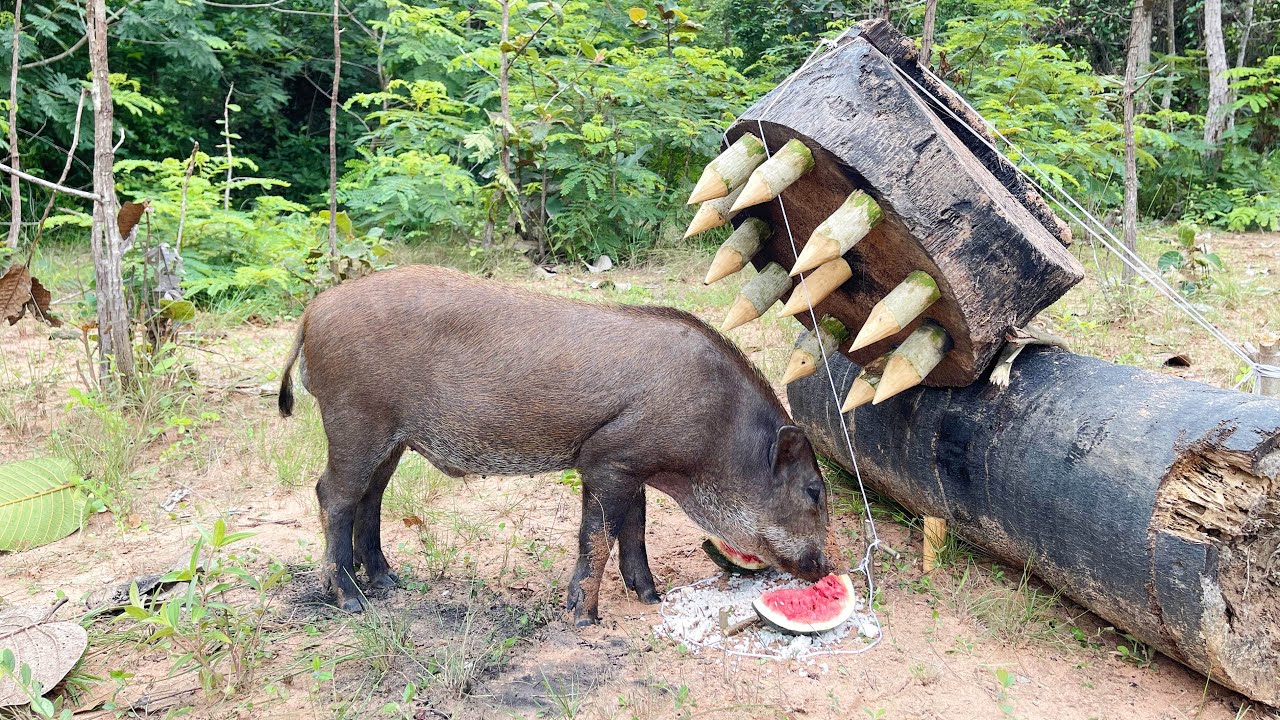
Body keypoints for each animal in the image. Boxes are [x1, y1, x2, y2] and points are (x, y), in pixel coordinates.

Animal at [278, 265, 833, 624]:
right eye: (814, 491)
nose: (826, 571)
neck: (715, 428)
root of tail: (311, 312)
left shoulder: (629, 466)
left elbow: (635, 530)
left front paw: (651, 599)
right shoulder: (609, 462)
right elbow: (600, 536)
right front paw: (585, 619)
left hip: (390, 440)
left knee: (371, 496)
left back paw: (389, 584)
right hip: (354, 421)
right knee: (333, 494)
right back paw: (351, 601)